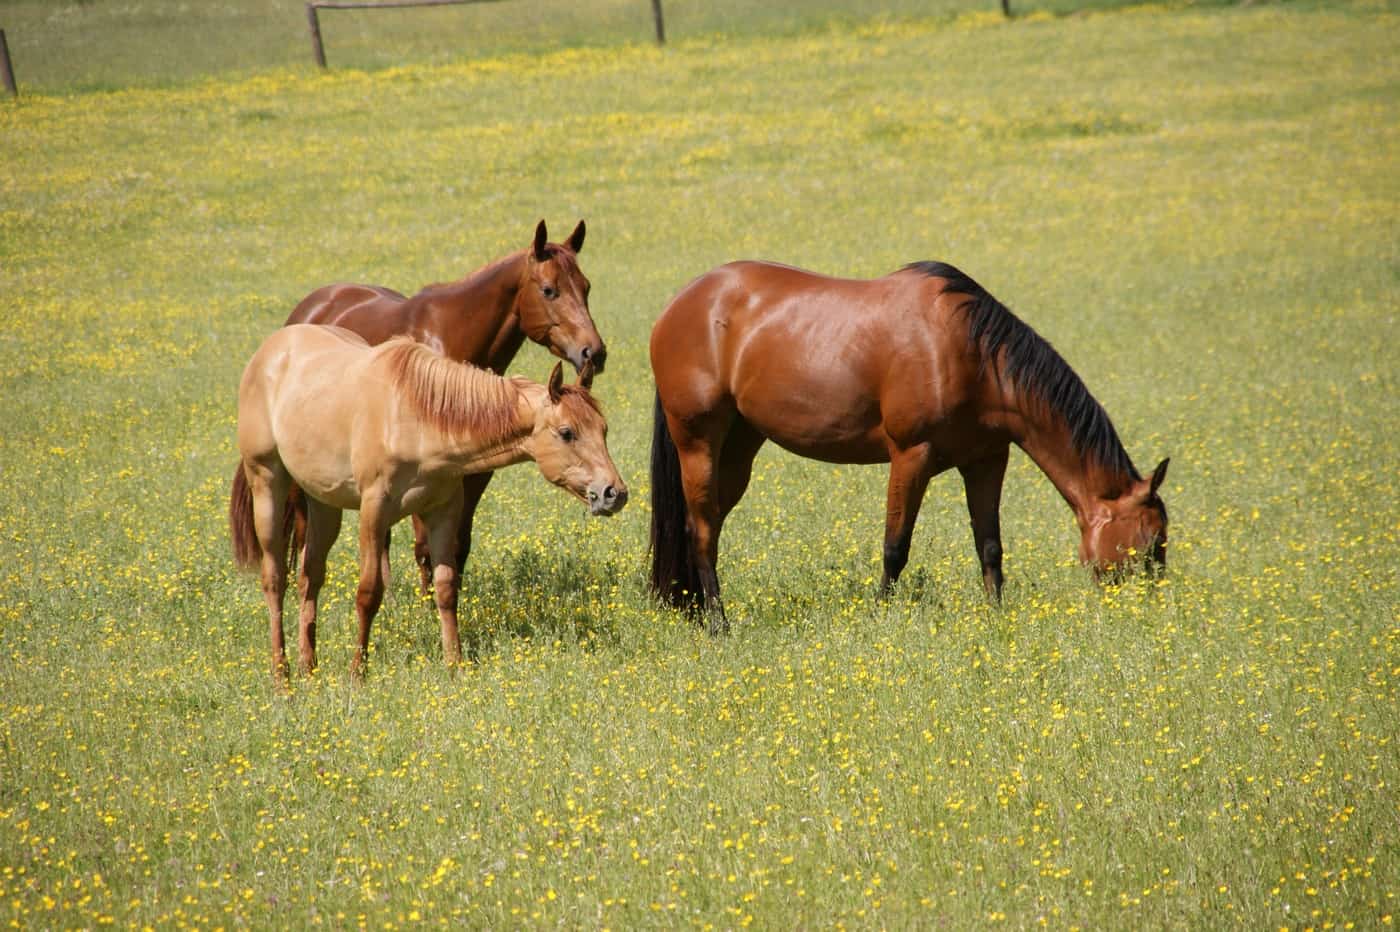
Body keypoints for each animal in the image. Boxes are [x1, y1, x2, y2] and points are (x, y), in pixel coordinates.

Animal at [230, 324, 626, 682]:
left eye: (604, 429)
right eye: (567, 433)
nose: (614, 492)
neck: (415, 419)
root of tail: (270, 350)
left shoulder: (443, 512)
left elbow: (447, 588)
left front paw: (455, 665)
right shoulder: (374, 513)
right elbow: (369, 593)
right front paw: (358, 672)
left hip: (323, 503)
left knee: (309, 577)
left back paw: (308, 667)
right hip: (267, 483)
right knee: (274, 579)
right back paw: (282, 674)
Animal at [283, 219, 602, 591]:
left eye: (587, 287)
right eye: (550, 290)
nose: (594, 352)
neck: (451, 339)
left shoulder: (472, 476)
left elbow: (457, 546)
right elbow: (425, 549)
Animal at [648, 260, 1169, 630]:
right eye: (1150, 543)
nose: (1149, 611)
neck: (971, 354)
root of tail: (680, 305)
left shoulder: (986, 460)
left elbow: (990, 545)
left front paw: (996, 617)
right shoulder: (910, 456)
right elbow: (895, 547)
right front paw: (881, 616)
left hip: (739, 446)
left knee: (708, 524)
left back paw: (698, 611)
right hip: (698, 441)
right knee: (701, 530)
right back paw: (718, 624)